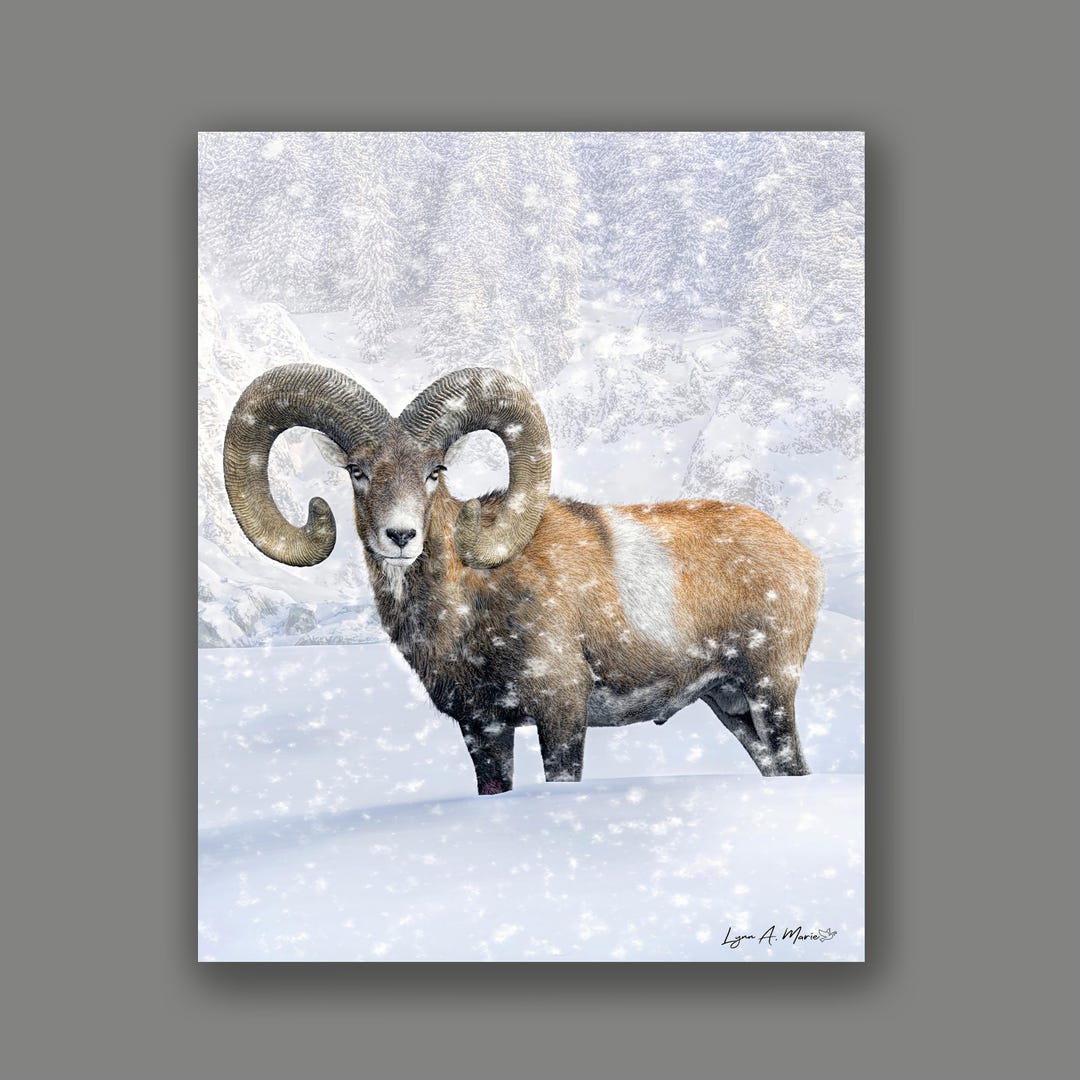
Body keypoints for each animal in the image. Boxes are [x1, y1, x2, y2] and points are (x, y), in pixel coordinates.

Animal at [224, 363, 824, 794]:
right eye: (357, 471)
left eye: (434, 471)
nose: (400, 536)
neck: (469, 607)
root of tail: (806, 557)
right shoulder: (484, 729)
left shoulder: (561, 714)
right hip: (732, 707)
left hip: (769, 691)